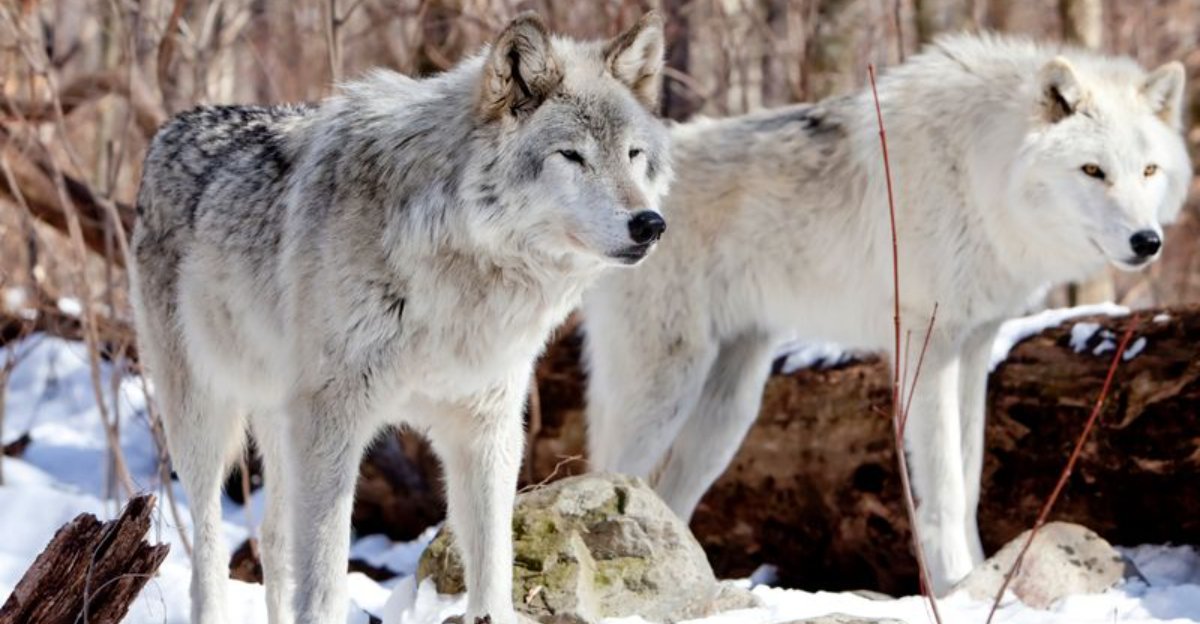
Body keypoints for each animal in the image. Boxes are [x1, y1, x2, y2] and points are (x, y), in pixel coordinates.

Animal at [130, 13, 669, 624]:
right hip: (203, 418)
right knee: (209, 550)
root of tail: (173, 125)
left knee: (272, 540)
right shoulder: (332, 422)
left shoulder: (486, 429)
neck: (461, 268)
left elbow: (493, 570)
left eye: (633, 154)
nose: (649, 223)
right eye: (572, 156)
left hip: (279, 421)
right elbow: (324, 586)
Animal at [584, 33, 1189, 595]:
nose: (1148, 242)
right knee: (607, 474)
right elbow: (944, 488)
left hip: (729, 411)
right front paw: (954, 584)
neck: (978, 170)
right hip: (665, 388)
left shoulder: (975, 344)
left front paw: (977, 576)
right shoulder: (930, 342)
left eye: (1149, 171)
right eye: (1092, 170)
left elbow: (969, 479)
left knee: (671, 496)